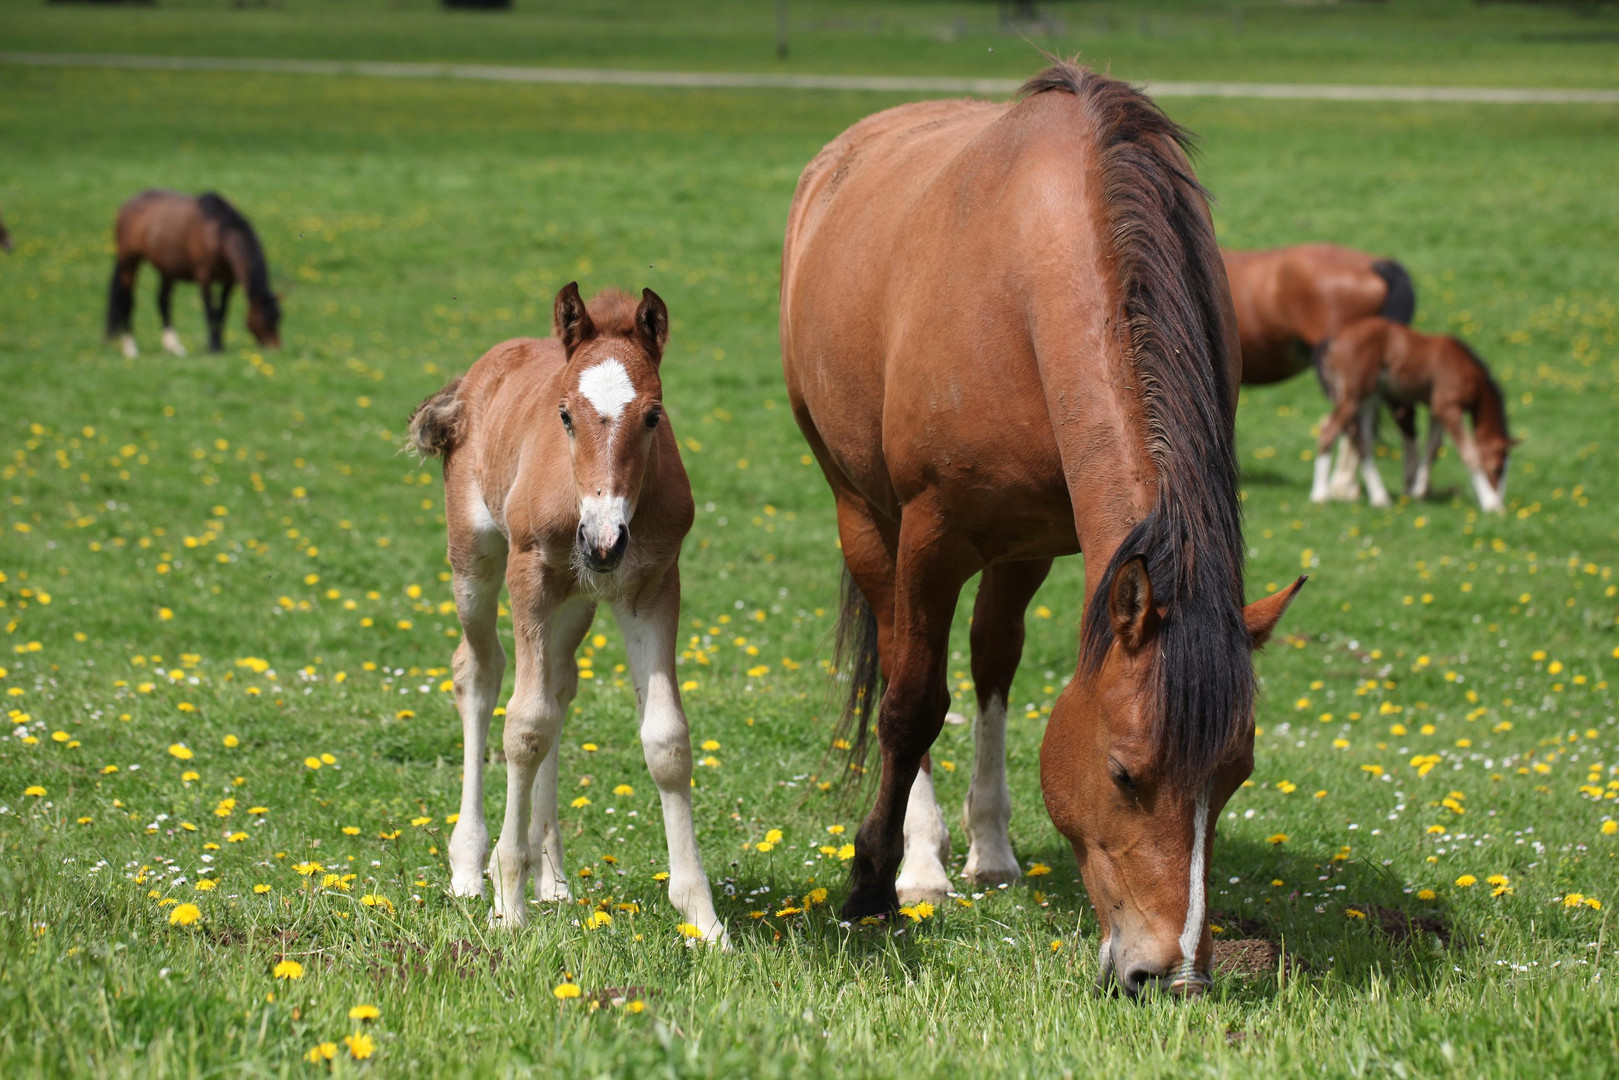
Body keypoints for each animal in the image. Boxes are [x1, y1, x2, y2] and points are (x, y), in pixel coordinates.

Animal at [105, 191, 281, 361]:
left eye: (279, 318)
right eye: (263, 320)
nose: (276, 348)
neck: (219, 234)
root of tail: (126, 206)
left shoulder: (228, 281)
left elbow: (222, 312)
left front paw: (220, 345)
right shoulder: (204, 277)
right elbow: (210, 311)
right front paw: (213, 347)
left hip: (167, 269)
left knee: (163, 301)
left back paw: (174, 347)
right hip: (129, 261)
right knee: (126, 300)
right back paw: (131, 348)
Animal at [411, 283, 728, 939]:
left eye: (654, 416)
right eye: (564, 415)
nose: (602, 542)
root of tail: (477, 373)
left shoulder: (653, 586)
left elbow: (667, 740)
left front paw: (703, 920)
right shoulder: (530, 574)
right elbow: (524, 726)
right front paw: (508, 902)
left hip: (576, 603)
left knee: (558, 687)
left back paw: (552, 879)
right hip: (476, 563)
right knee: (478, 673)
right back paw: (470, 867)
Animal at [780, 63, 1301, 997]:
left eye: (1235, 775)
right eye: (1124, 773)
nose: (1172, 976)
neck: (1032, 275)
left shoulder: (1053, 543)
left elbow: (992, 672)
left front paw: (975, 849)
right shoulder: (932, 534)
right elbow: (911, 704)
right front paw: (873, 884)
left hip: (1015, 545)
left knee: (990, 657)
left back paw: (986, 849)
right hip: (862, 513)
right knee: (901, 659)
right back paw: (921, 861)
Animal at [1308, 314, 1508, 514]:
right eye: (1497, 468)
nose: (1500, 498)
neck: (1464, 366)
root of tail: (1335, 343)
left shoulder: (1438, 410)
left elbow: (1433, 447)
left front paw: (1419, 490)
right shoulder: (1449, 408)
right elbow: (1470, 454)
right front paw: (1491, 503)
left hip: (1368, 398)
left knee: (1362, 442)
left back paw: (1380, 498)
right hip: (1353, 398)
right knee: (1328, 432)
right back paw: (1320, 495)